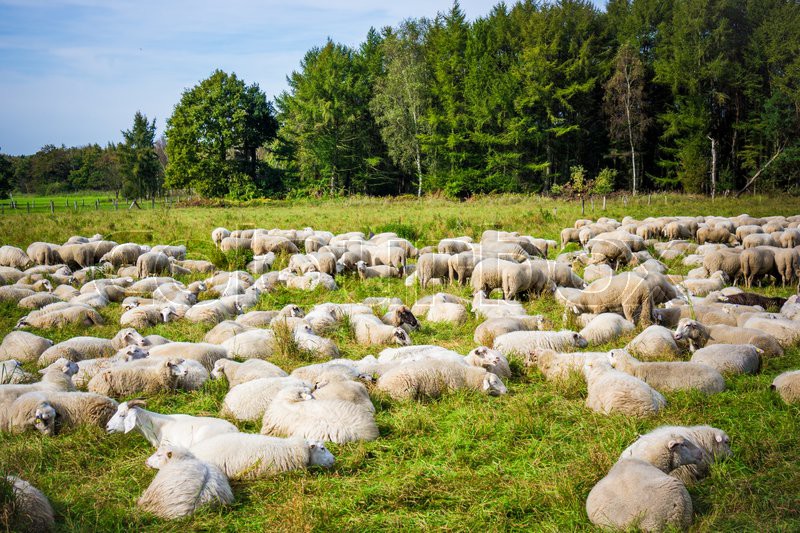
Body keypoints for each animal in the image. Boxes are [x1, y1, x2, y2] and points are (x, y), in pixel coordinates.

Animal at [376, 359, 507, 400]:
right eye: (494, 382)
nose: (507, 391)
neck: (466, 376)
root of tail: (380, 384)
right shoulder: (454, 389)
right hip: (404, 392)